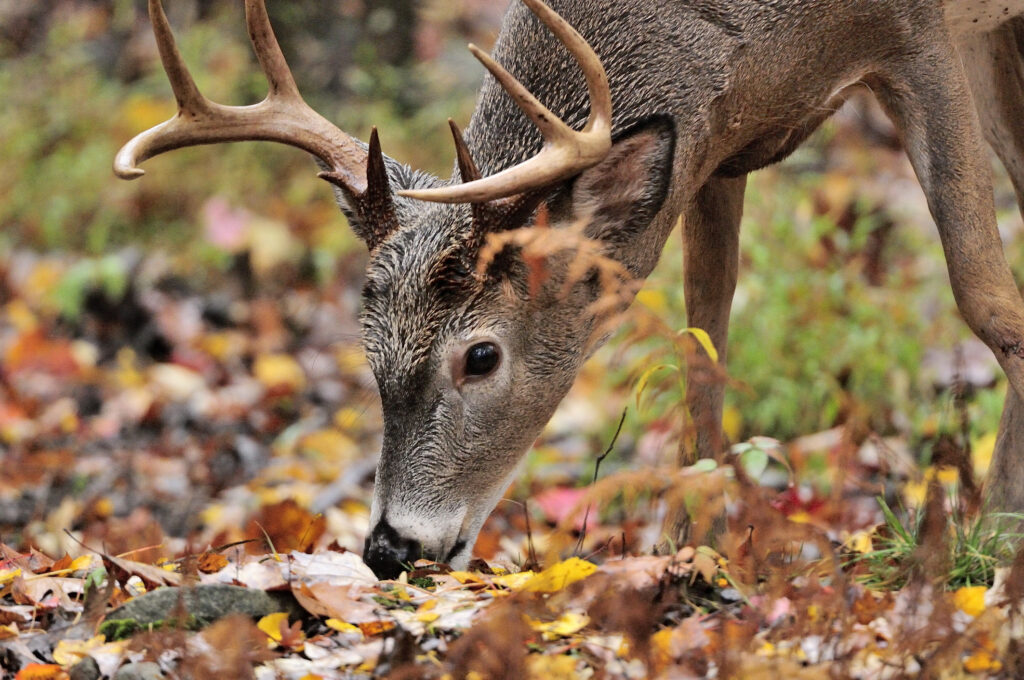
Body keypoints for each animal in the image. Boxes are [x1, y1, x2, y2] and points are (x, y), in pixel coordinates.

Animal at [115, 0, 1024, 579]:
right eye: (367, 352)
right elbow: (704, 343)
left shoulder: (918, 35)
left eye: (481, 356)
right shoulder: (716, 150)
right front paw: (694, 548)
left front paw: (995, 538)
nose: (388, 550)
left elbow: (987, 299)